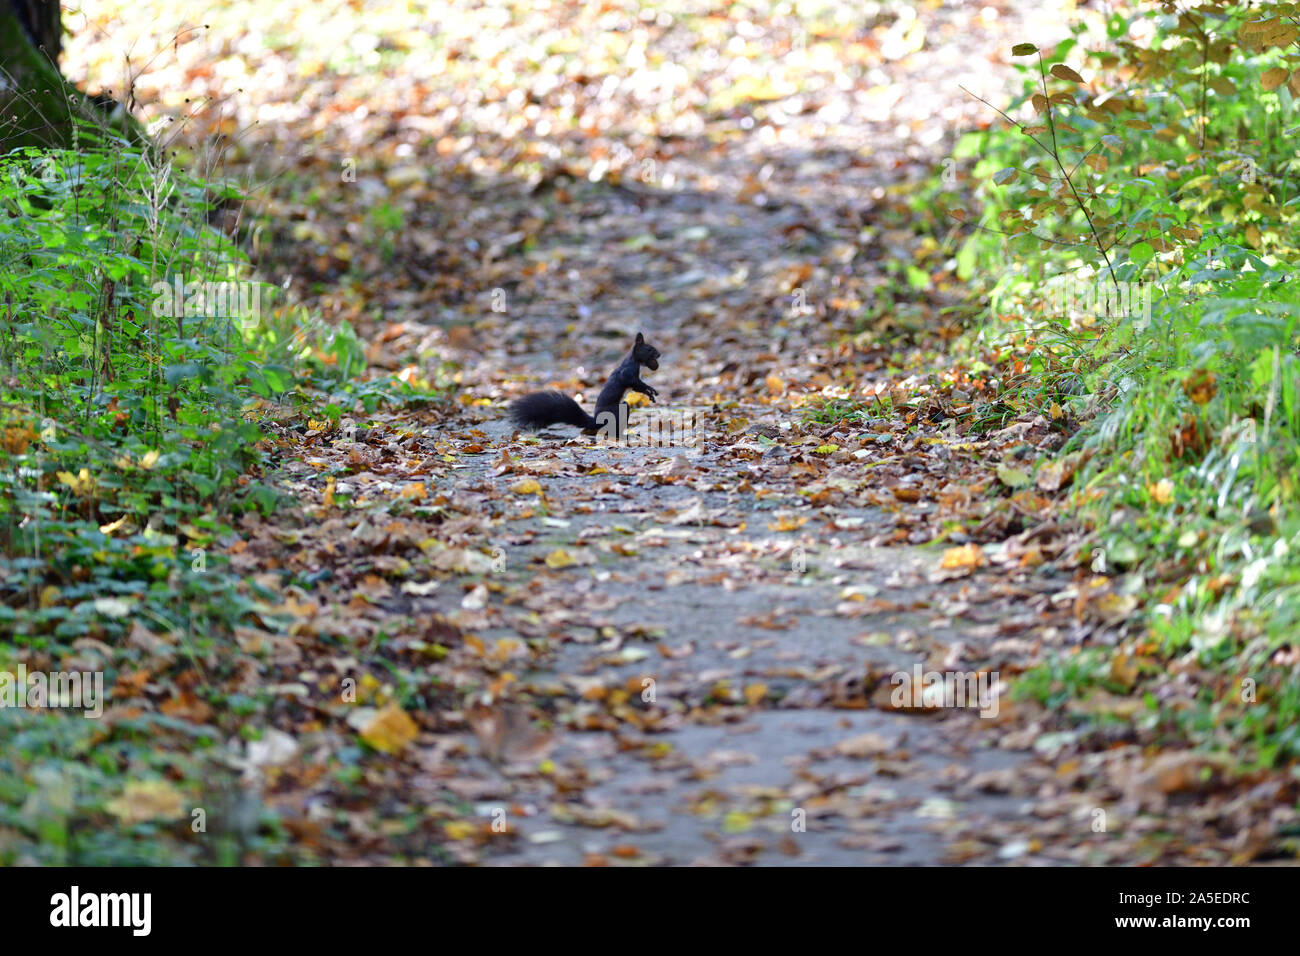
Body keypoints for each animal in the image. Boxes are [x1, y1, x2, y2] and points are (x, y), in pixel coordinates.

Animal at [508, 332, 661, 438]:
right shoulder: (628, 373)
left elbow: (637, 387)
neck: (633, 360)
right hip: (617, 410)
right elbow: (636, 383)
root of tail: (597, 420)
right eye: (649, 349)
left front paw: (650, 393)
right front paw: (650, 390)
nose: (659, 354)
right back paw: (622, 434)